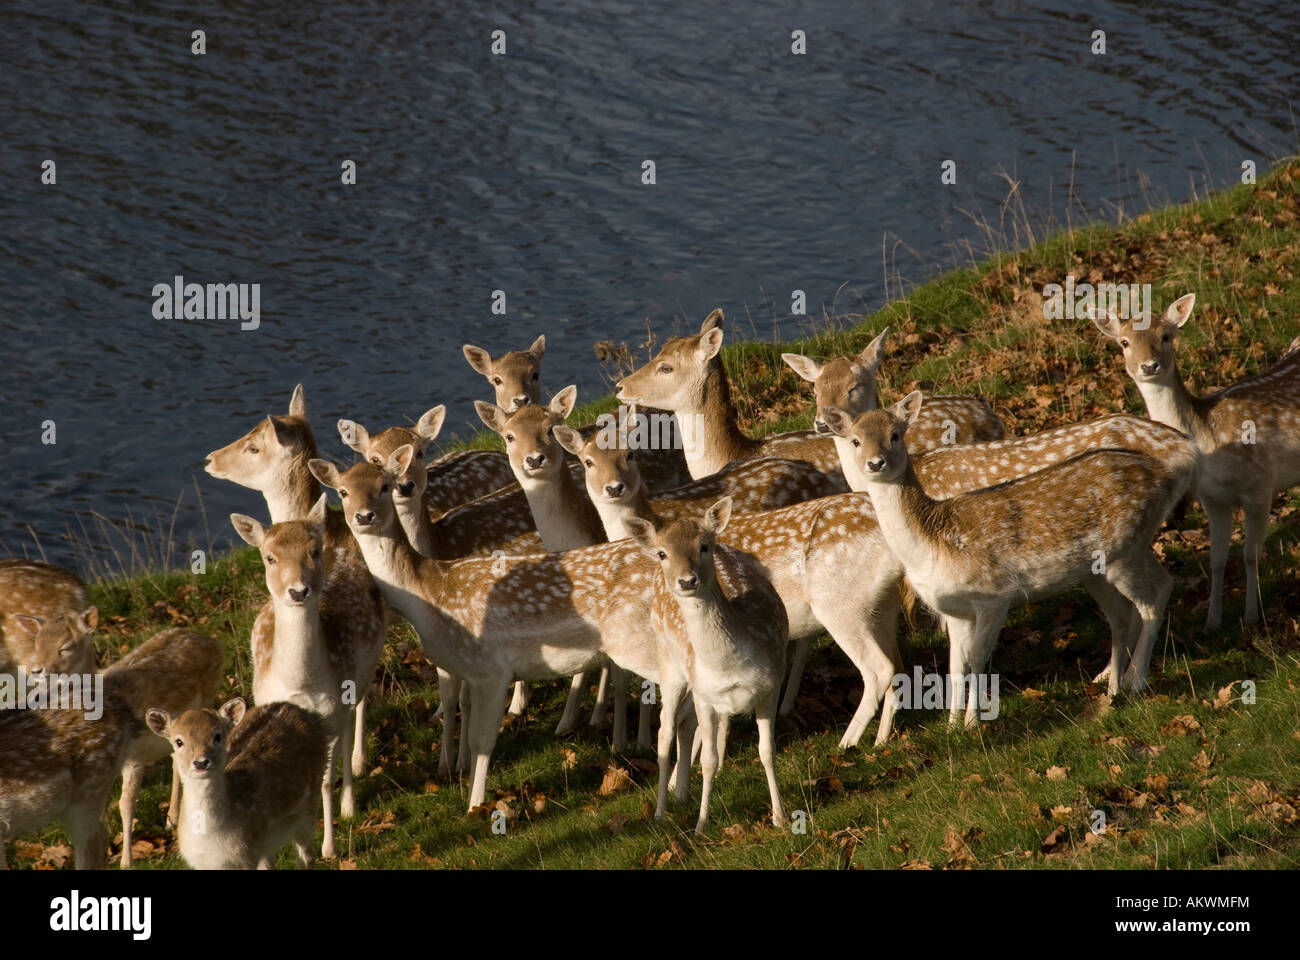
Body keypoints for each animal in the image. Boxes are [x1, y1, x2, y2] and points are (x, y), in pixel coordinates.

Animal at [146, 699, 327, 870]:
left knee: (307, 855)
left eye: (217, 736)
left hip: (311, 801)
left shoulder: (246, 854)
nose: (201, 762)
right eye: (178, 741)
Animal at [230, 495, 386, 860]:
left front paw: (329, 847)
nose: (298, 590)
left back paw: (350, 803)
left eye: (313, 551)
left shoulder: (331, 712)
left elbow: (325, 781)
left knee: (355, 718)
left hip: (362, 675)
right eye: (269, 557)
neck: (300, 685)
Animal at [626, 499, 789, 835]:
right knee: (665, 730)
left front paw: (780, 817)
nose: (687, 580)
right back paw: (660, 811)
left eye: (703, 546)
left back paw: (682, 793)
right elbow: (709, 761)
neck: (729, 665)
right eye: (662, 553)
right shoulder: (706, 698)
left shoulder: (771, 685)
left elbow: (767, 752)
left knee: (686, 724)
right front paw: (701, 826)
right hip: (669, 665)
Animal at [830, 391, 1197, 721]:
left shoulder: (995, 595)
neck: (932, 543)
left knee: (1154, 596)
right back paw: (1112, 687)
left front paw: (973, 723)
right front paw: (951, 726)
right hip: (1104, 566)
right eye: (855, 441)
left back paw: (1136, 681)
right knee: (1131, 607)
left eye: (895, 434)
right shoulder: (954, 611)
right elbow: (956, 666)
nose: (875, 463)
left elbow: (978, 661)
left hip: (1125, 549)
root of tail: (1171, 468)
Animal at [1092, 293, 1300, 629]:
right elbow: (1217, 559)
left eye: (1166, 335)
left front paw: (1252, 616)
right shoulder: (1212, 499)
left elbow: (1250, 555)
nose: (1148, 365)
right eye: (1124, 342)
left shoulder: (1260, 484)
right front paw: (1212, 621)